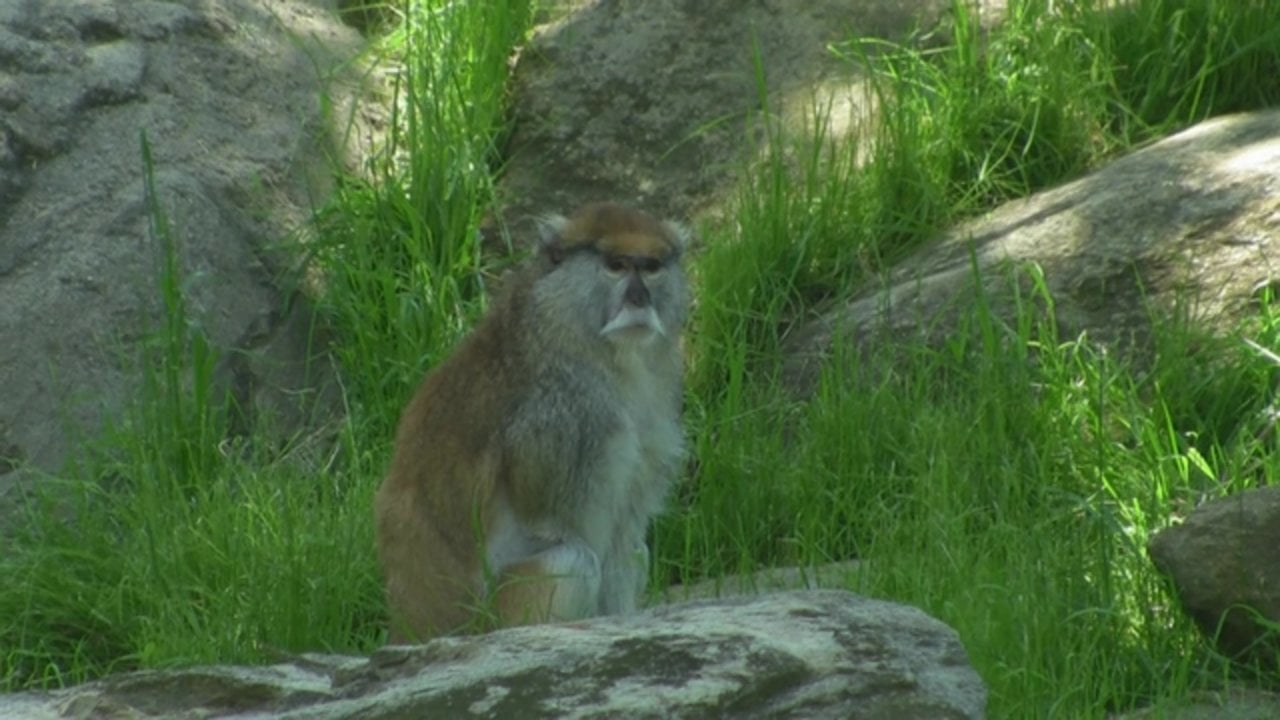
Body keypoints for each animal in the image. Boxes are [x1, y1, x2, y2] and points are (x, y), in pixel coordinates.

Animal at [374, 202, 691, 643]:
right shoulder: (567, 415)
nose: (639, 298)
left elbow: (624, 541)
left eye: (652, 267)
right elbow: (578, 534)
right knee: (573, 560)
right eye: (616, 265)